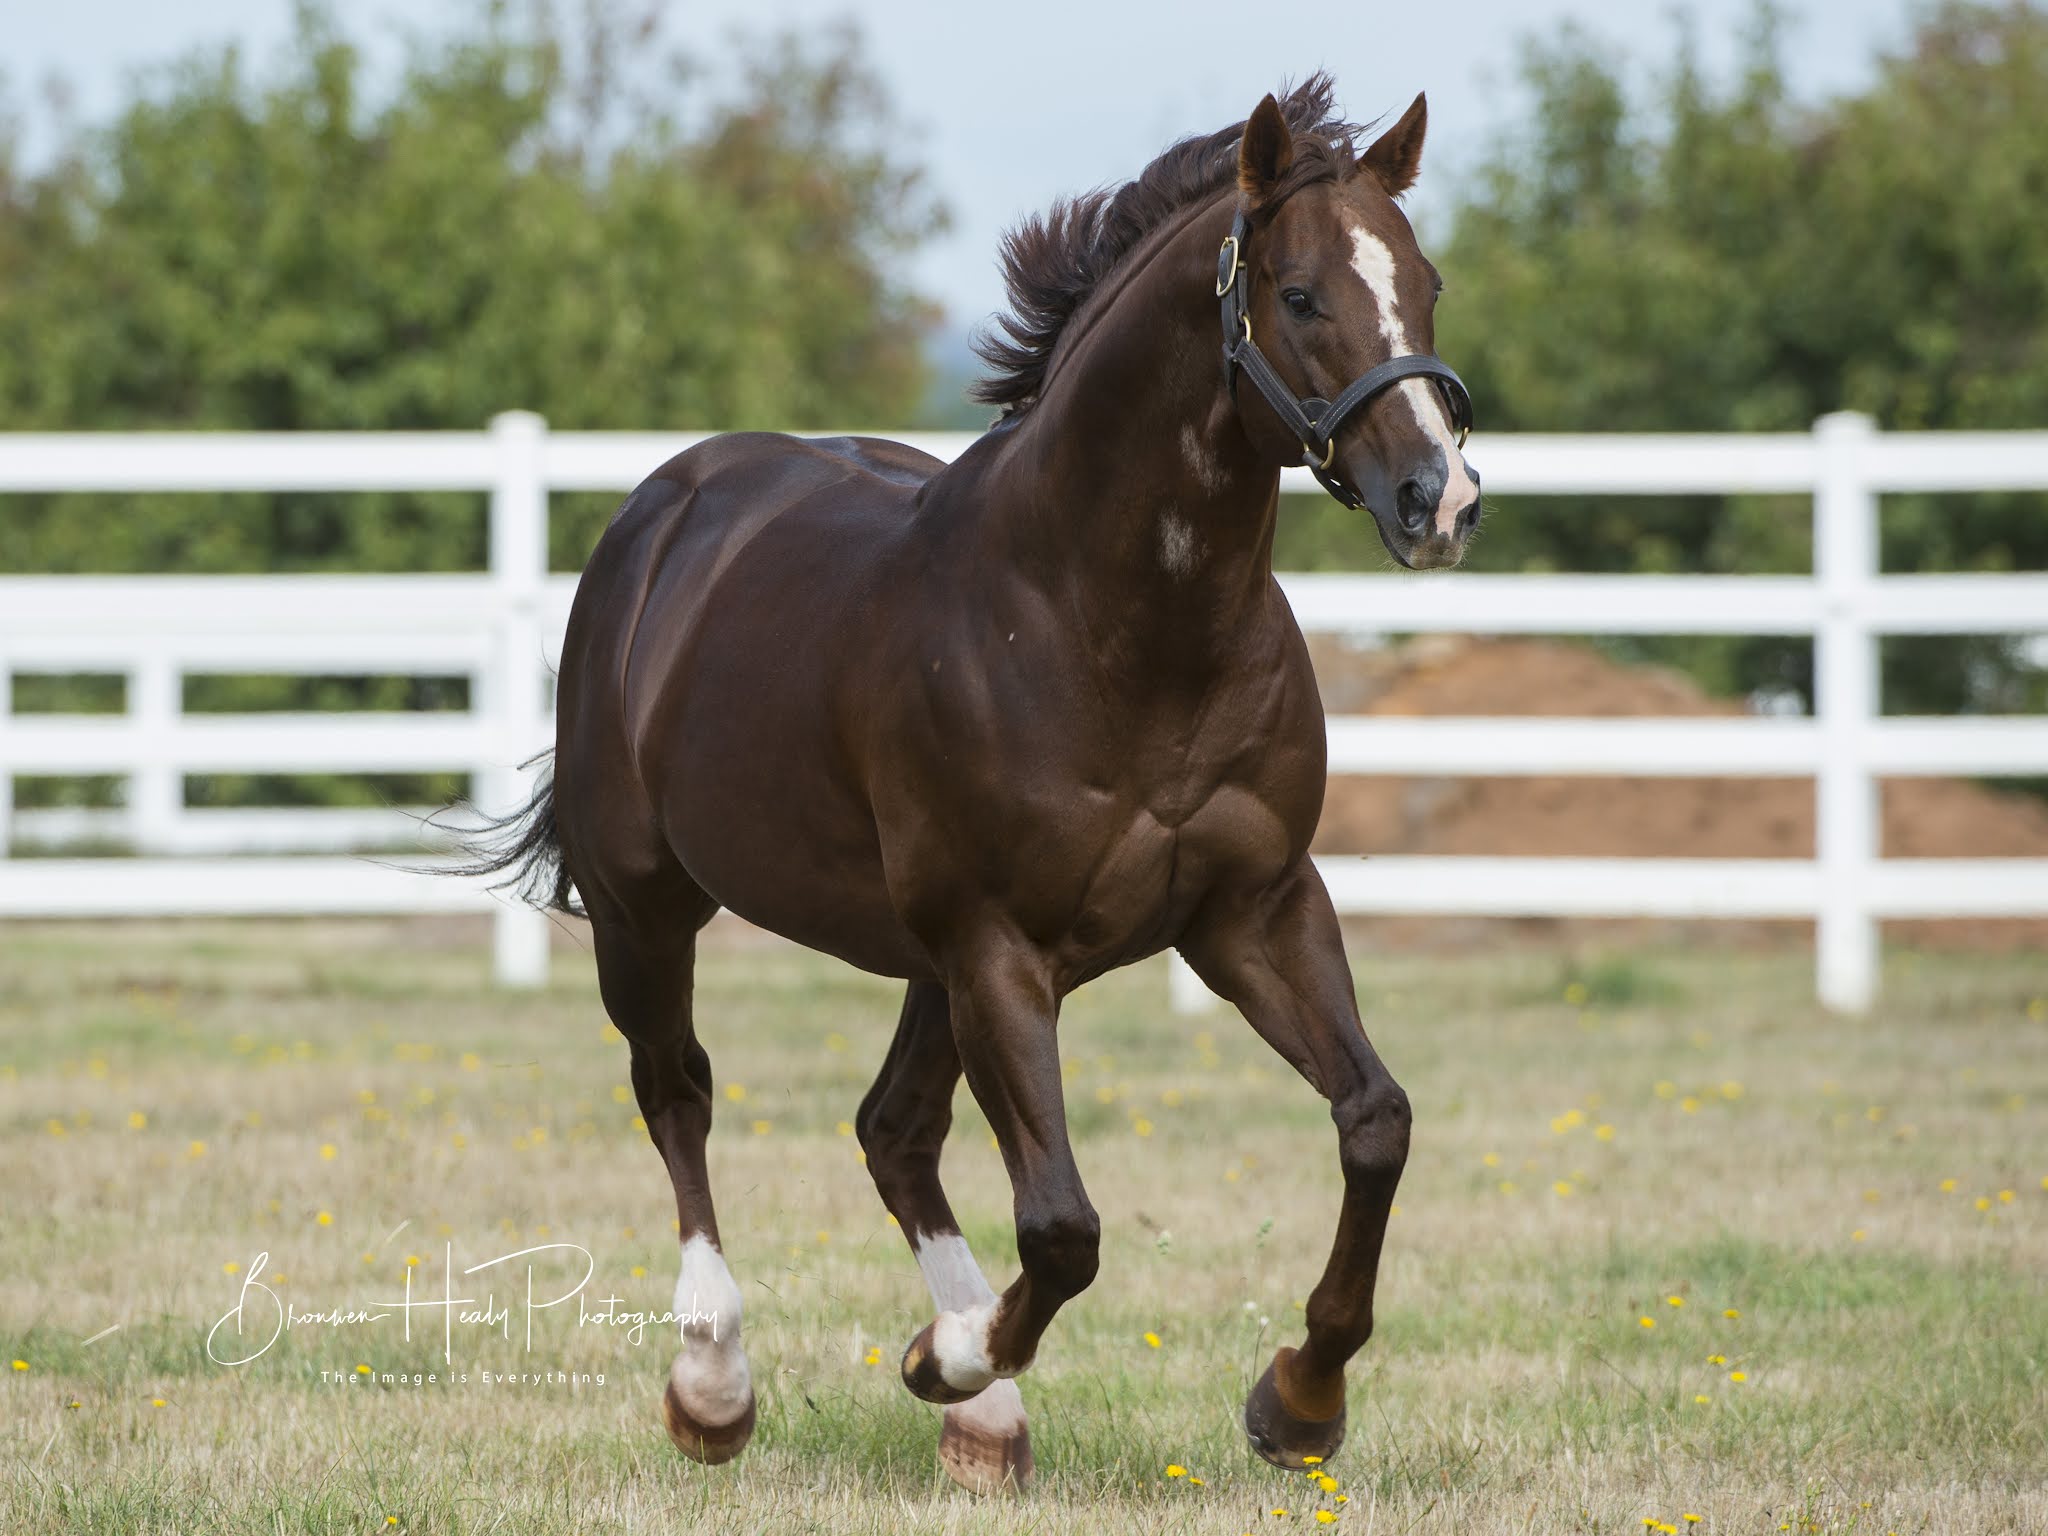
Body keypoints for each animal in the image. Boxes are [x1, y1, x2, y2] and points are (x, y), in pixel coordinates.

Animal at [466, 74, 1480, 1493]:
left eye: (1424, 281)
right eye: (1296, 295)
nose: (1438, 498)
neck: (1106, 622)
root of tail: (664, 508)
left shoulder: (1251, 911)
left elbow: (1373, 1120)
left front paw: (1297, 1401)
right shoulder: (1000, 943)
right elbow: (1061, 1224)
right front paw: (936, 1360)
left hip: (920, 960)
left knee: (890, 1128)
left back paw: (985, 1420)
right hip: (648, 908)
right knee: (678, 1094)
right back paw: (720, 1388)